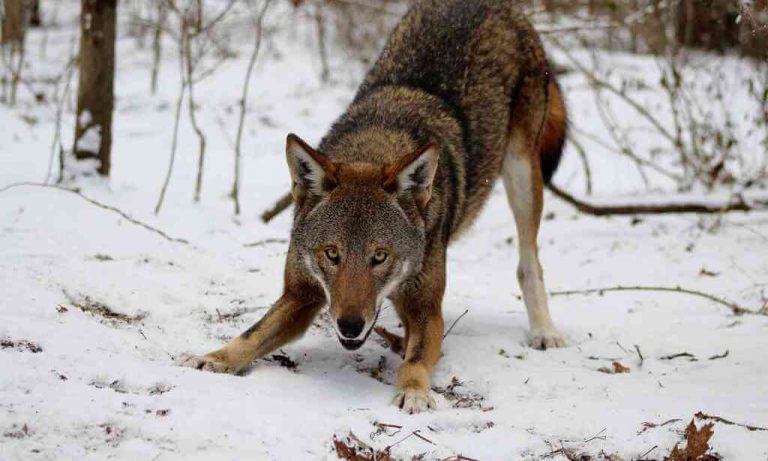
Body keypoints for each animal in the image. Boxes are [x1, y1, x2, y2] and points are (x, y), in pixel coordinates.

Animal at [181, 0, 568, 413]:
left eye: (379, 256)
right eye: (332, 254)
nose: (350, 325)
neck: (375, 147)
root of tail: (500, 5)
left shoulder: (427, 310)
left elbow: (416, 360)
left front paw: (413, 392)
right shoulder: (300, 294)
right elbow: (251, 334)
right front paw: (213, 358)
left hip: (523, 174)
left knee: (529, 262)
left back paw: (545, 332)